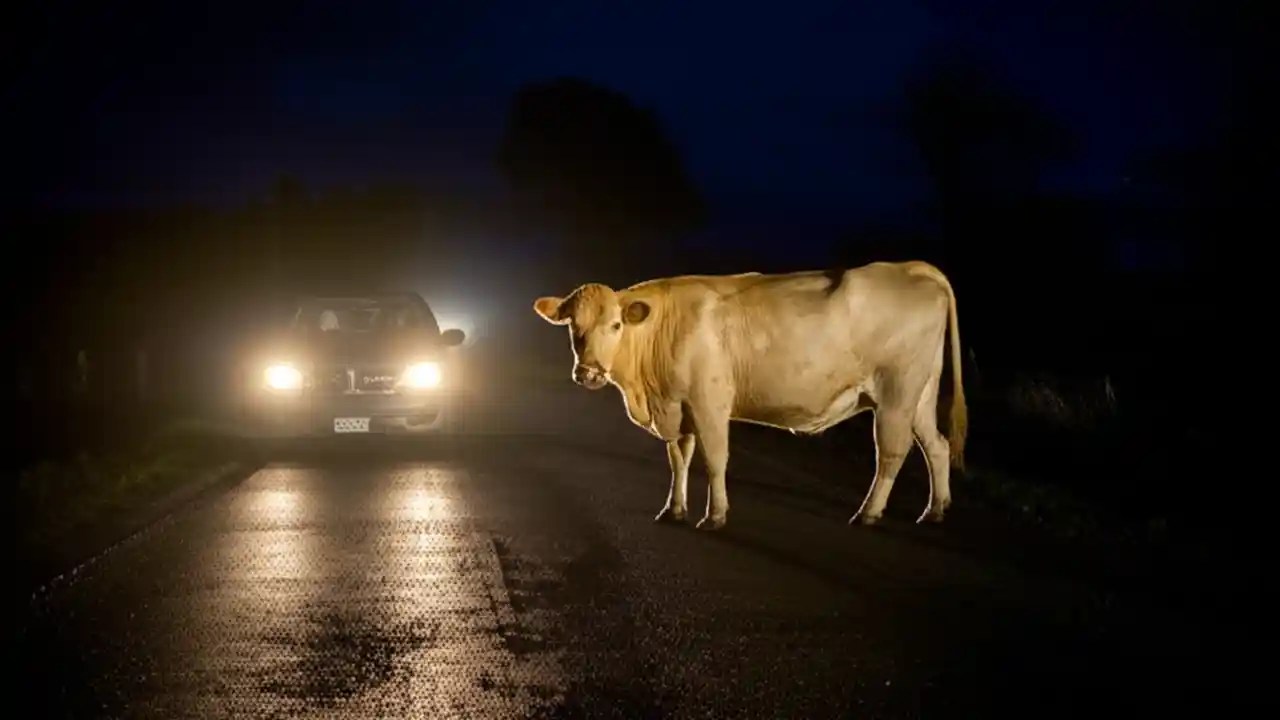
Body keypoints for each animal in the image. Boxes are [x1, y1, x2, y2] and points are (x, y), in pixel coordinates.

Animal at [532, 260, 967, 530]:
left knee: (892, 453)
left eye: (616, 325)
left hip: (896, 393)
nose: (588, 373)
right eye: (573, 326)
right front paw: (673, 509)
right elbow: (679, 460)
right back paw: (935, 510)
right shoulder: (677, 405)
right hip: (921, 394)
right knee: (937, 445)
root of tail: (908, 267)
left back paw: (869, 513)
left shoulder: (709, 403)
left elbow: (714, 460)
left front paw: (715, 516)